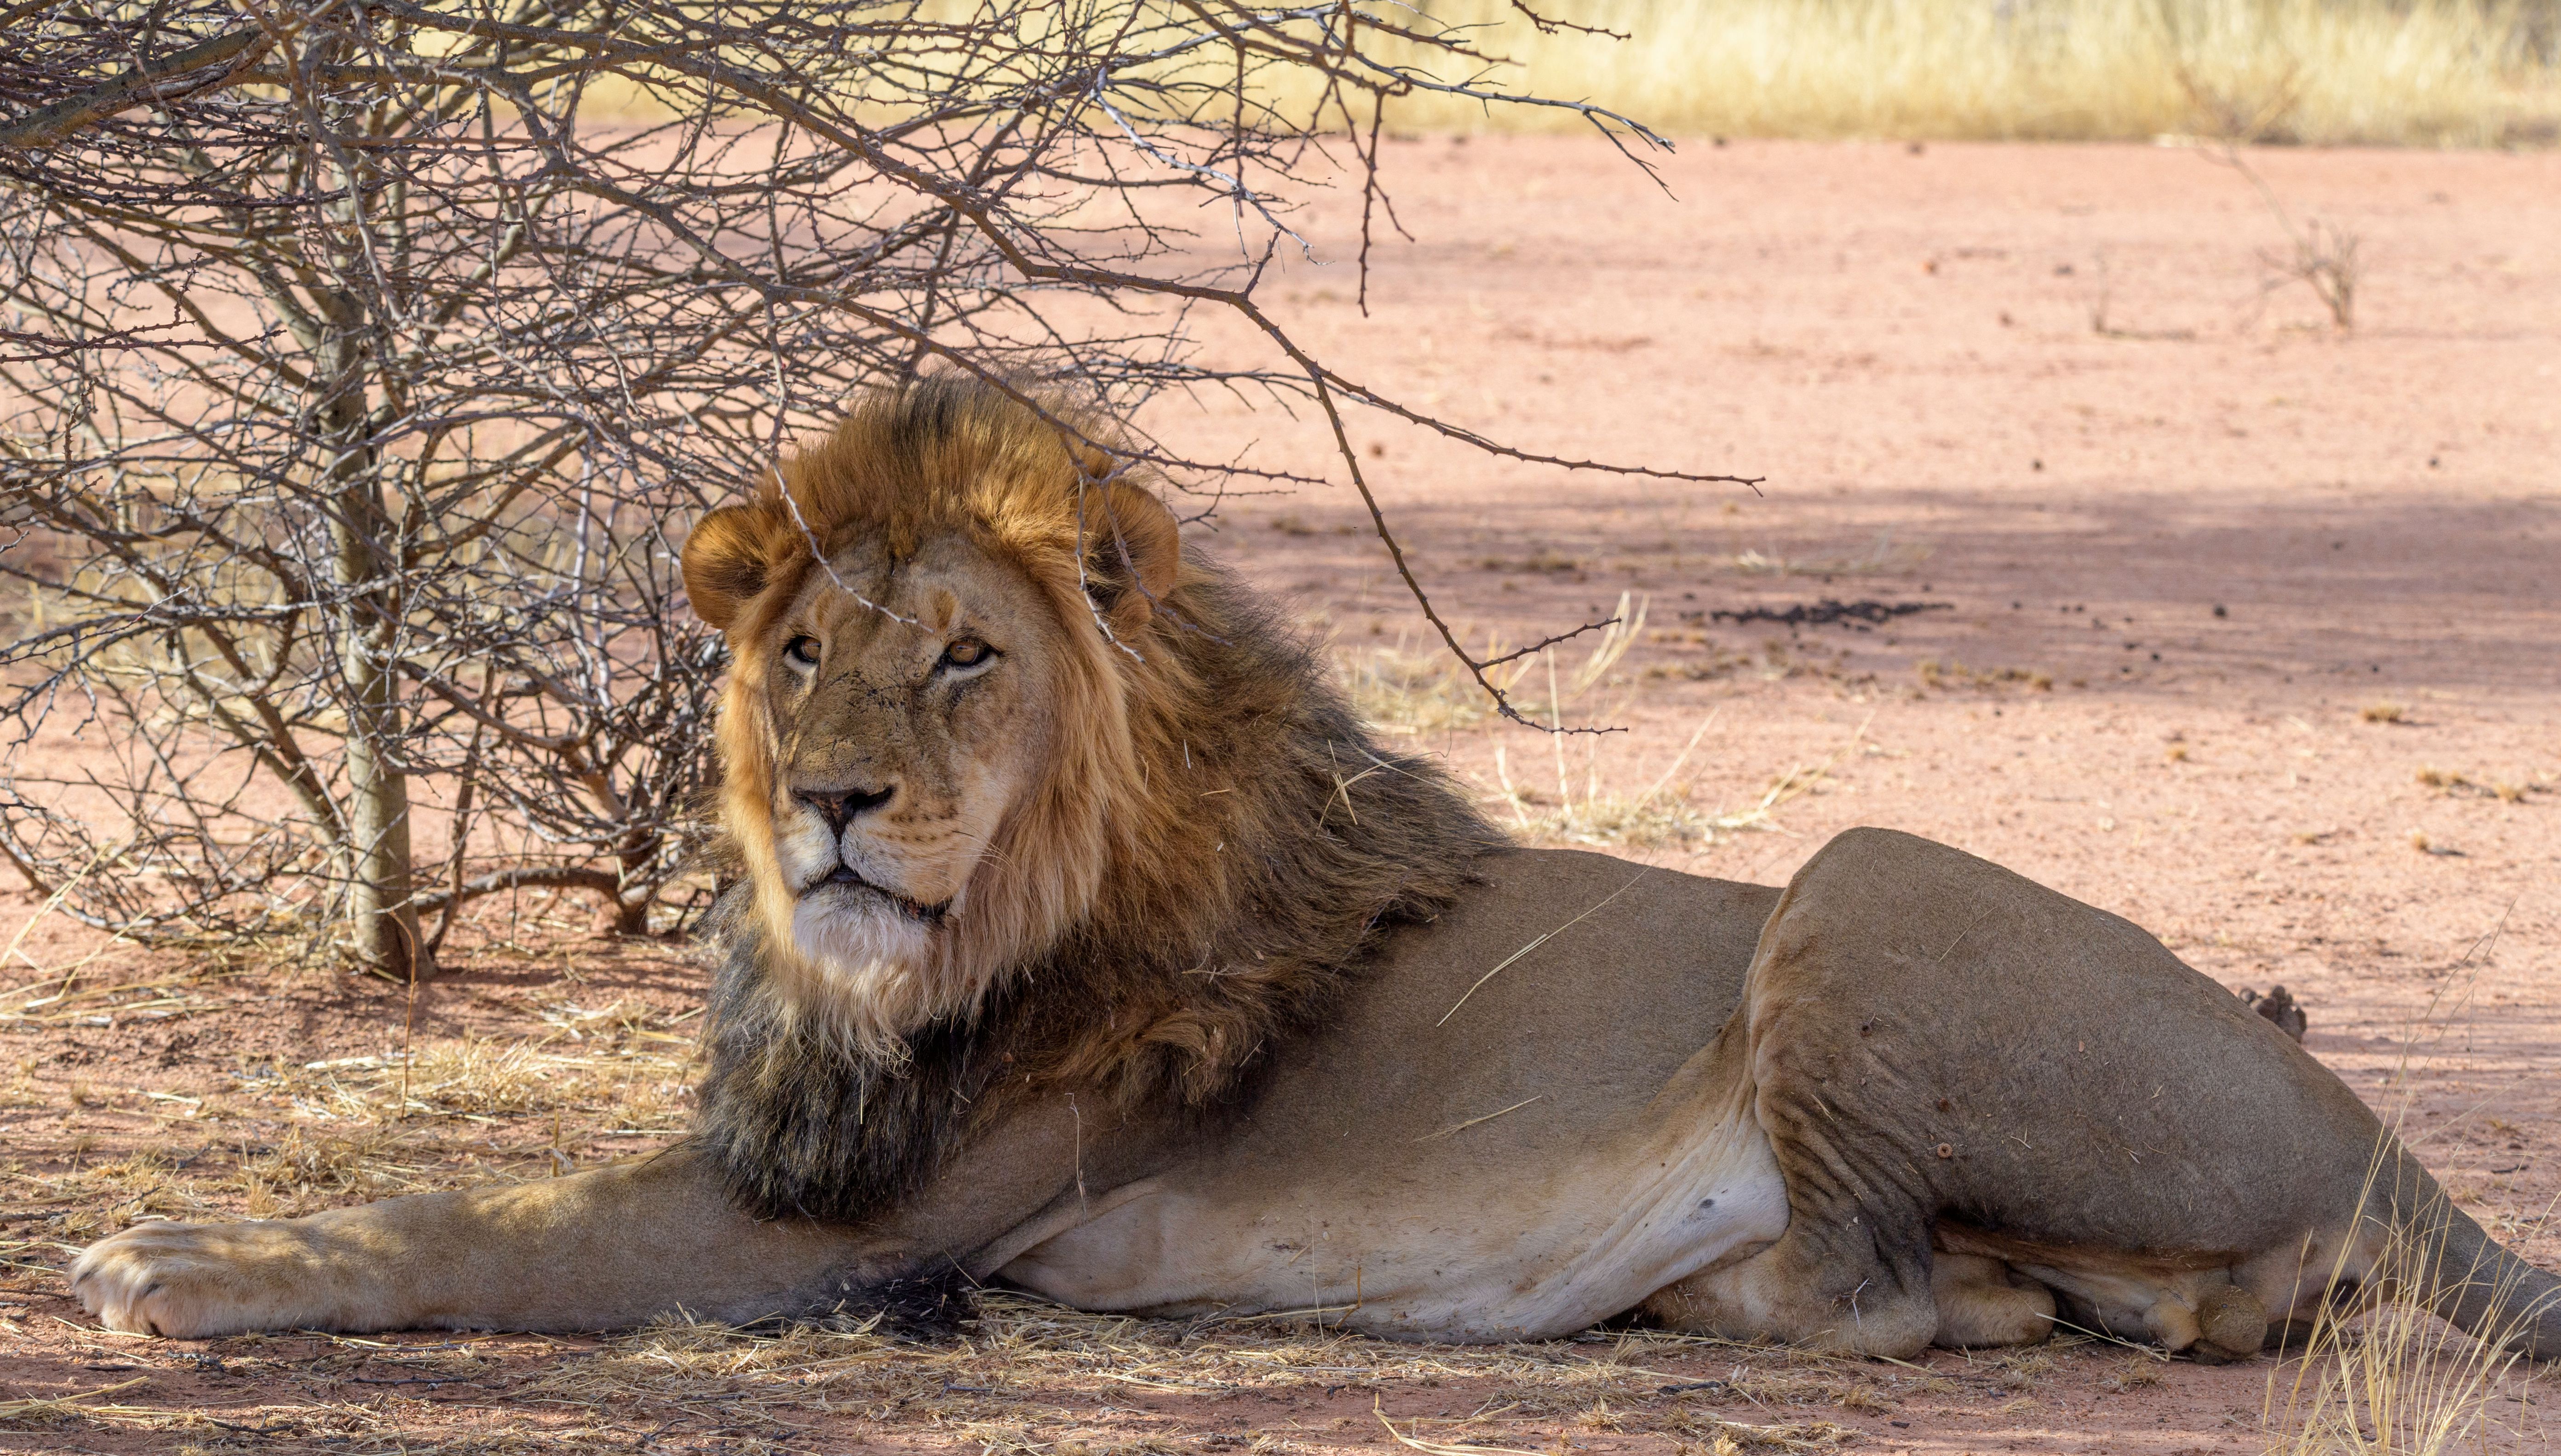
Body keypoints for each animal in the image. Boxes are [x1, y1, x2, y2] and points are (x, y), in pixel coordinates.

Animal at [72, 377, 2561, 1361]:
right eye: (794, 657)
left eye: (966, 659)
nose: (837, 805)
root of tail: (2384, 1138)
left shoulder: (869, 1217)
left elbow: (471, 1216)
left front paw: (166, 1259)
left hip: (1850, 872)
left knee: (1879, 1290)